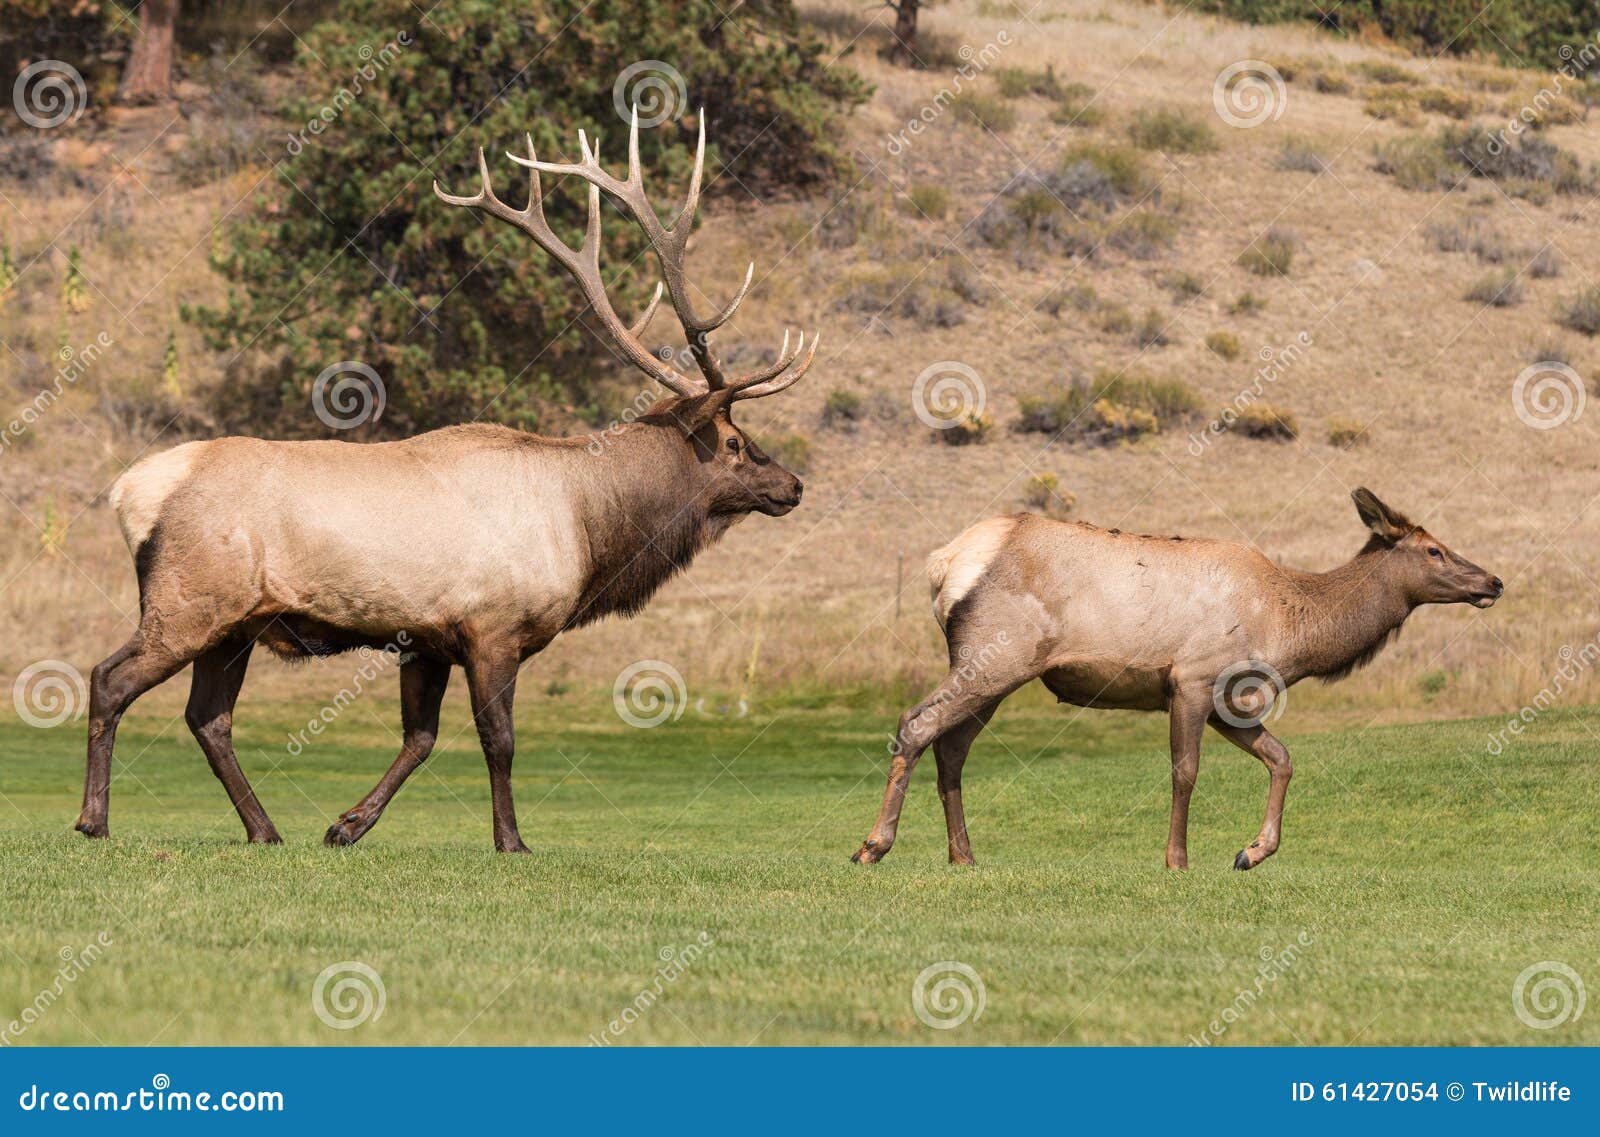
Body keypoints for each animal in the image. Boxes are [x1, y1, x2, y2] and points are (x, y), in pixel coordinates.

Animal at [78, 112, 816, 852]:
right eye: (734, 443)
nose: (793, 485)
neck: (588, 528)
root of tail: (128, 493)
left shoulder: (425, 639)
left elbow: (421, 738)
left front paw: (346, 824)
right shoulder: (493, 627)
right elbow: (499, 740)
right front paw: (511, 840)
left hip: (234, 624)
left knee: (208, 717)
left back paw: (265, 829)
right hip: (188, 600)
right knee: (108, 678)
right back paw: (94, 819)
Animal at [851, 488, 1502, 871]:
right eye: (1435, 550)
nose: (1493, 581)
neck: (1289, 632)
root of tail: (943, 566)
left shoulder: (1229, 700)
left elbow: (1282, 758)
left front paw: (1252, 852)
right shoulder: (1192, 678)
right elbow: (1184, 773)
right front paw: (1177, 860)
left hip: (995, 669)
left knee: (953, 746)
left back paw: (963, 856)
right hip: (994, 655)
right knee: (917, 723)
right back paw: (873, 846)